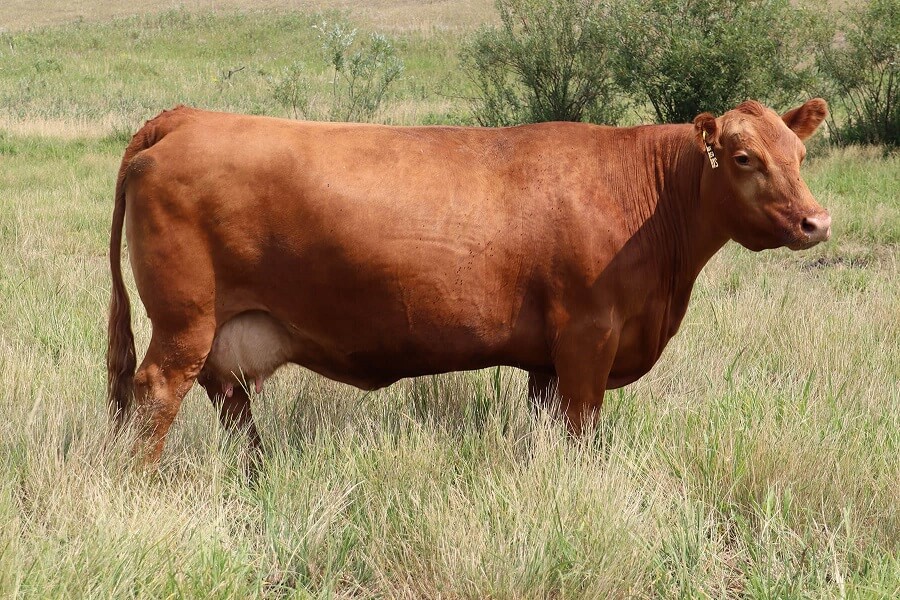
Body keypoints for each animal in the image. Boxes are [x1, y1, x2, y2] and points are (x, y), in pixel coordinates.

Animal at [107, 99, 831, 461]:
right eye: (744, 157)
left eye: (800, 154)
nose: (817, 221)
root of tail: (185, 116)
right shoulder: (588, 337)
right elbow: (582, 431)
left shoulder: (547, 359)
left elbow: (547, 429)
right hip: (185, 323)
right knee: (154, 395)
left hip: (220, 334)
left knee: (229, 406)